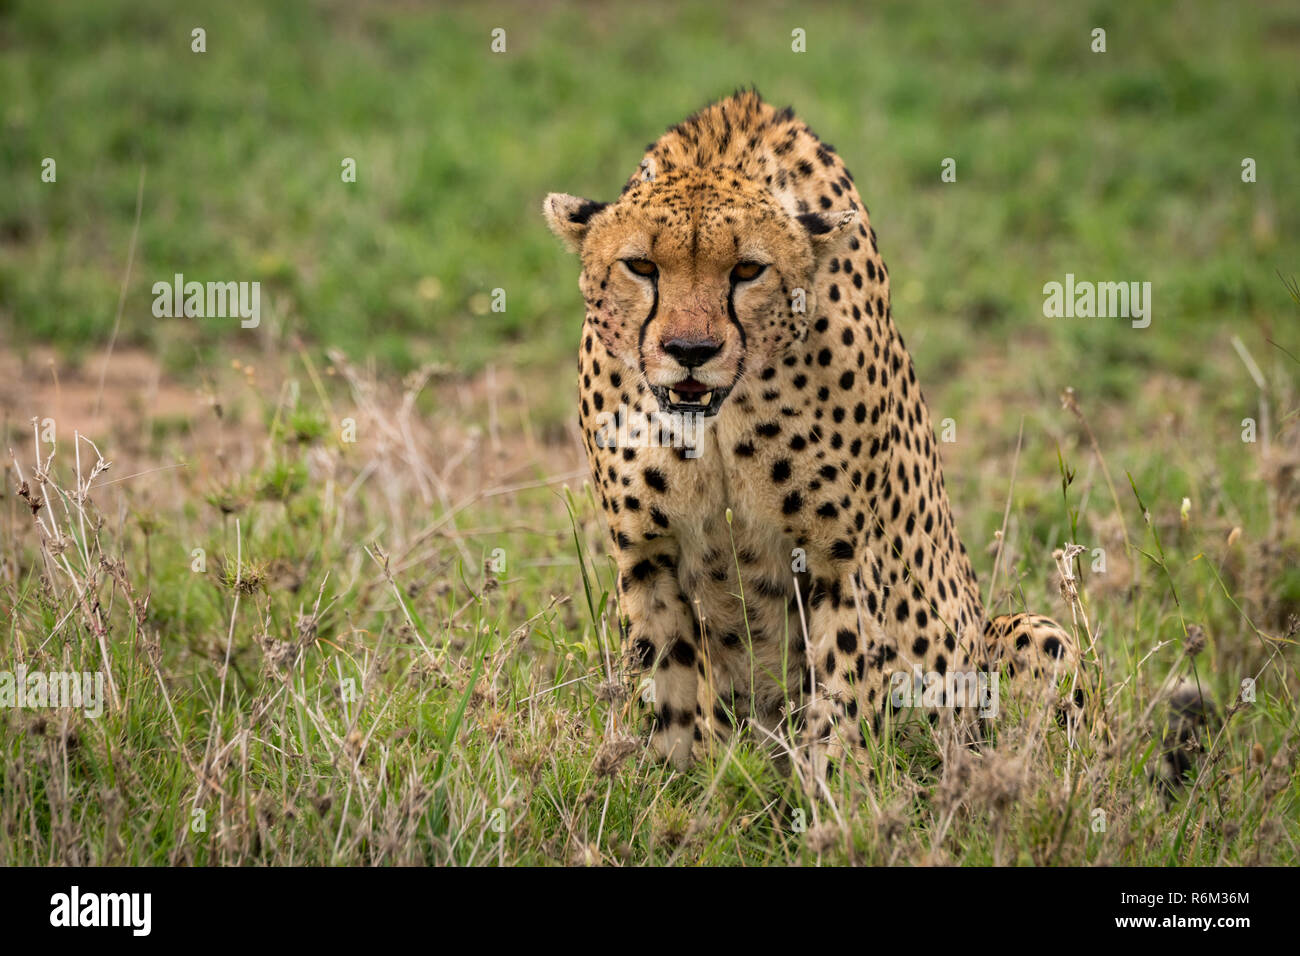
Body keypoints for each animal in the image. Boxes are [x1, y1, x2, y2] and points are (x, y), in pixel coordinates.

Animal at [543, 90, 1082, 783]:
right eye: (640, 266)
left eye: (748, 269)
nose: (690, 351)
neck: (719, 420)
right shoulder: (646, 555)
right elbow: (671, 697)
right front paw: (668, 791)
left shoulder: (840, 560)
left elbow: (842, 698)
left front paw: (835, 796)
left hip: (1028, 635)